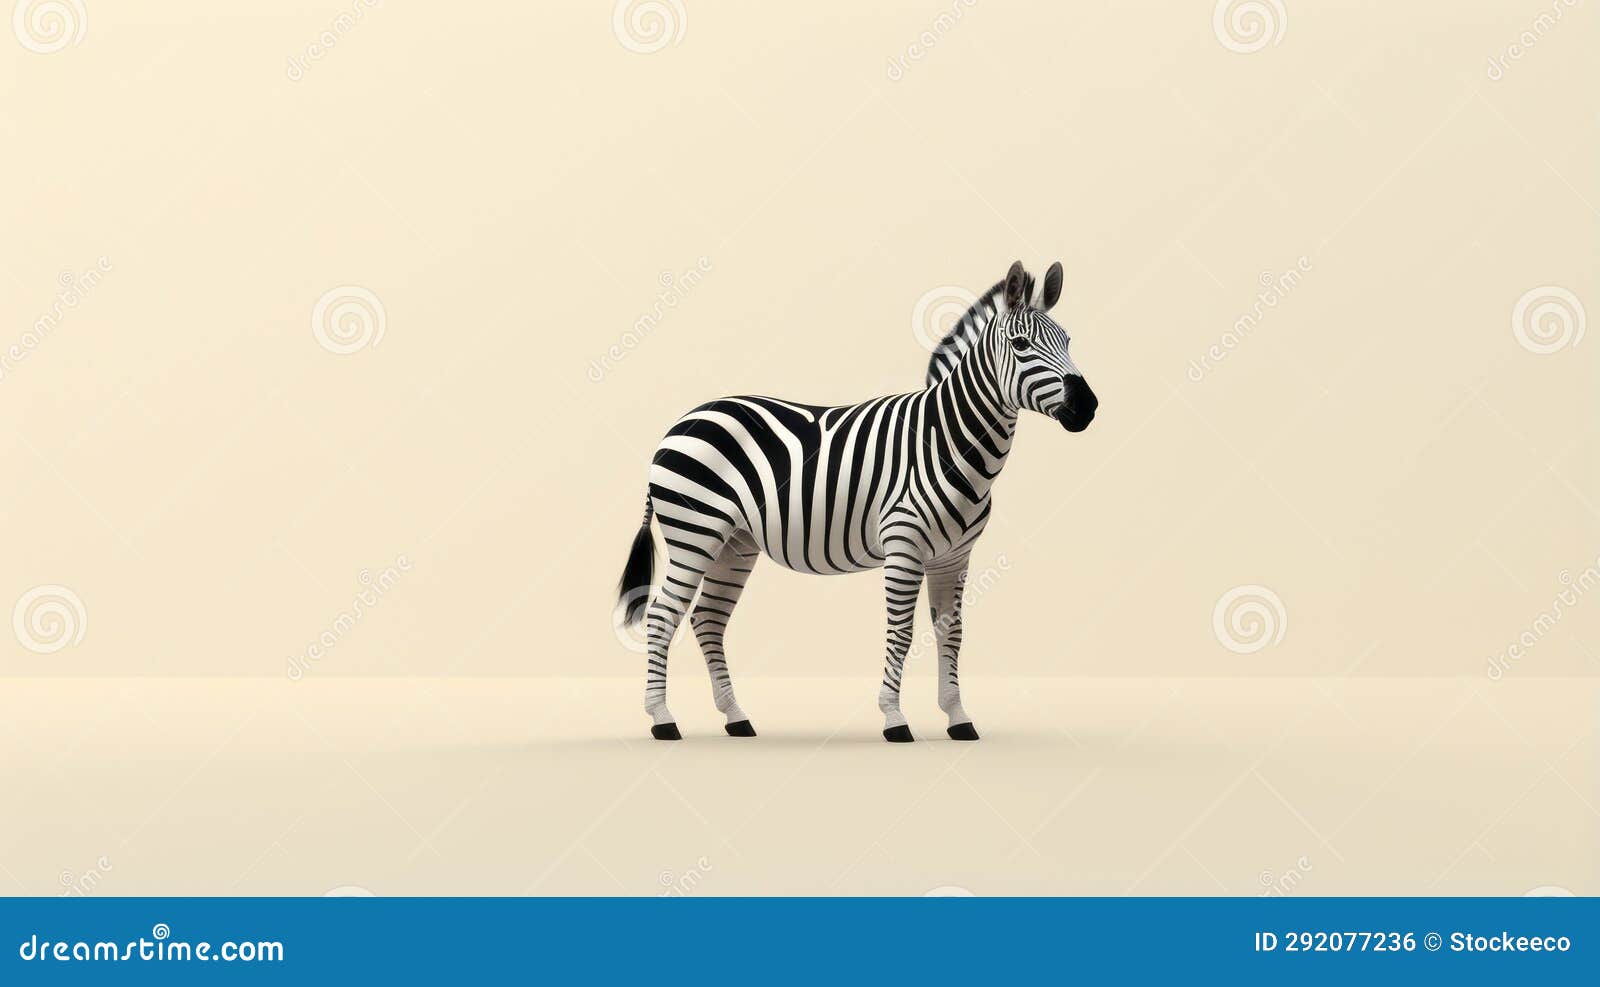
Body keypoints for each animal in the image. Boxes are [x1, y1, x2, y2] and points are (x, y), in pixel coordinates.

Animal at [614, 260, 1098, 742]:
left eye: (1069, 342)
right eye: (1020, 344)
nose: (1088, 406)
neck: (948, 440)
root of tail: (683, 420)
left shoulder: (954, 556)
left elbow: (952, 633)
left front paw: (958, 717)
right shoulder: (904, 545)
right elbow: (901, 632)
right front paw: (894, 718)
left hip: (735, 542)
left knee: (708, 619)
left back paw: (736, 717)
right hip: (694, 533)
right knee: (662, 616)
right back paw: (662, 719)